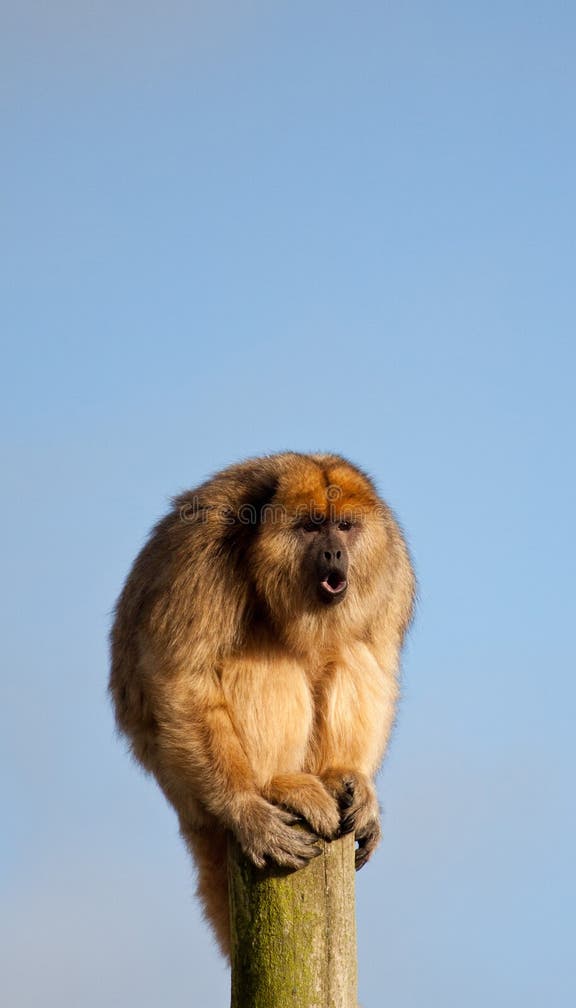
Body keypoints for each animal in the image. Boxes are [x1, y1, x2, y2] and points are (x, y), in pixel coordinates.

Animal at [109, 451, 415, 957]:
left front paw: (363, 787)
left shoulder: (393, 568)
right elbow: (182, 679)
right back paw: (276, 785)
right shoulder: (203, 553)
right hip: (184, 780)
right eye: (311, 526)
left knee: (354, 651)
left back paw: (339, 775)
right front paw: (245, 809)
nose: (335, 553)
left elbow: (380, 658)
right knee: (263, 652)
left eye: (345, 526)